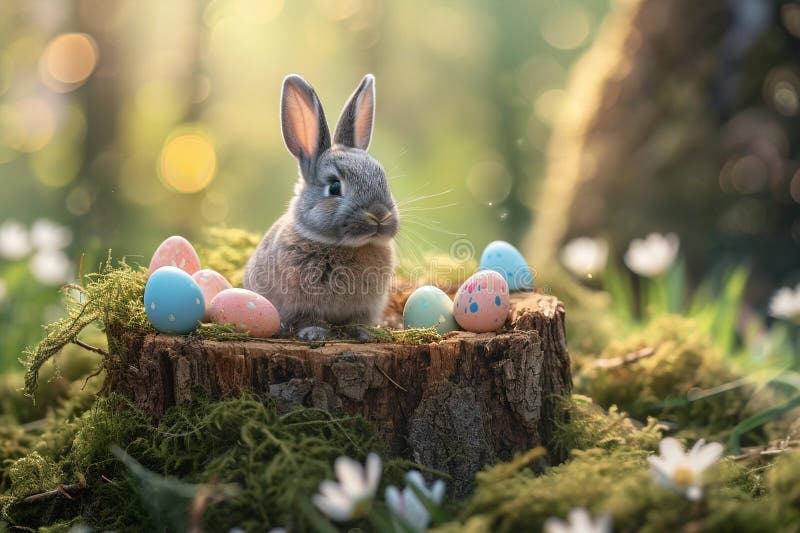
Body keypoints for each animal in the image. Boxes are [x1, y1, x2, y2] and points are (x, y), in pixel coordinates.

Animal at [243, 74, 399, 340]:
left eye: (383, 178)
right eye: (335, 187)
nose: (379, 214)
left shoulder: (366, 307)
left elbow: (358, 321)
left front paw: (365, 333)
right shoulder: (301, 304)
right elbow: (308, 318)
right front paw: (314, 333)